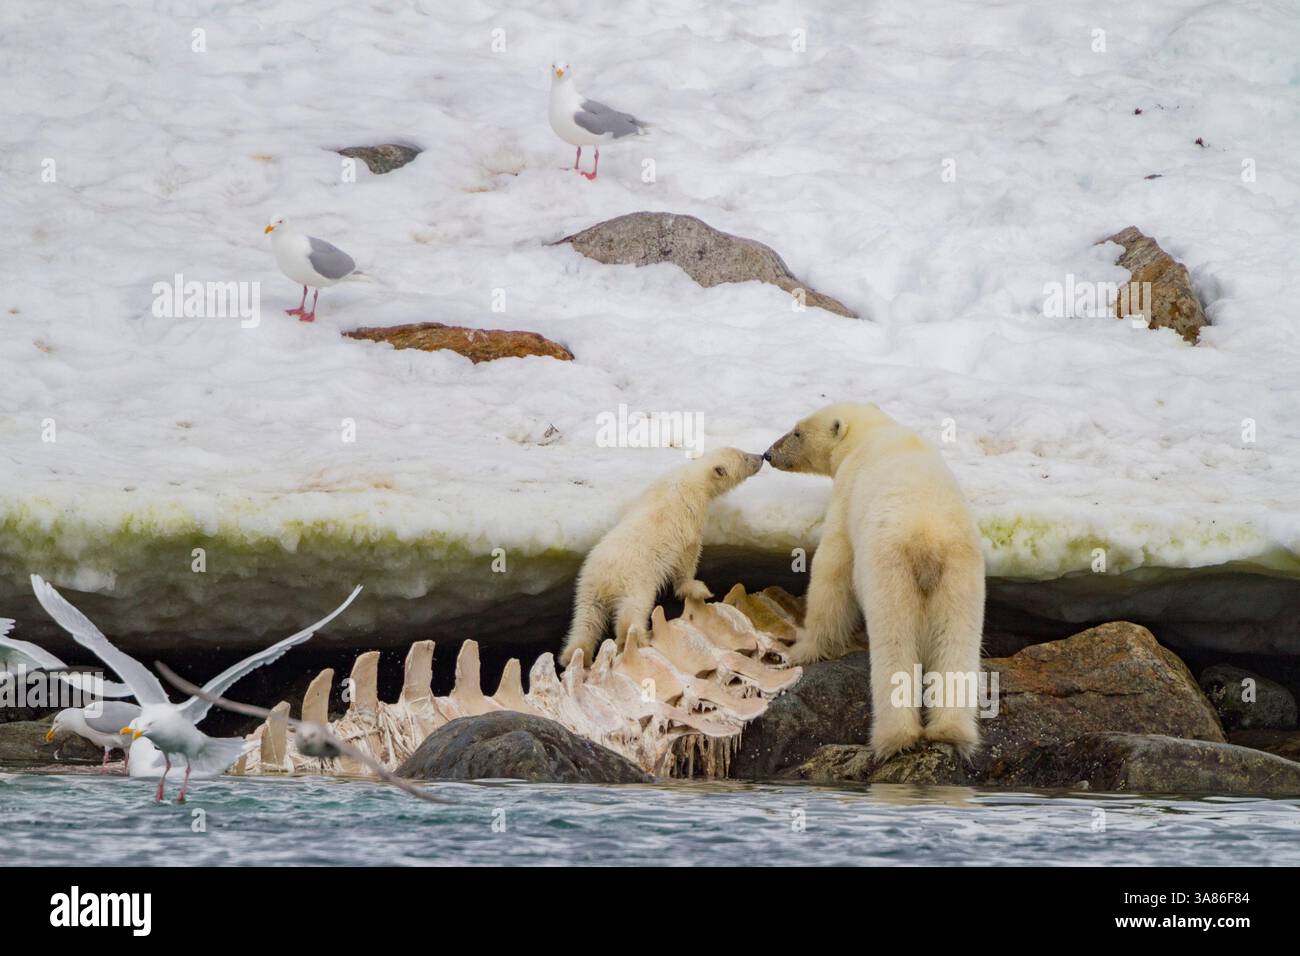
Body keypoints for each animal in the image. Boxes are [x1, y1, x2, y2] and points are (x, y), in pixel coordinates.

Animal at [559, 447, 764, 667]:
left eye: (744, 452)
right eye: (745, 458)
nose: (761, 457)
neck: (691, 478)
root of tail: (606, 581)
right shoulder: (691, 516)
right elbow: (689, 553)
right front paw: (696, 588)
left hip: (587, 585)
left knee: (586, 620)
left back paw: (574, 654)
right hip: (635, 581)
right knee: (632, 610)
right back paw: (637, 639)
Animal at [764, 402, 985, 760]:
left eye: (797, 432)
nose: (768, 453)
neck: (872, 432)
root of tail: (927, 544)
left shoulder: (846, 494)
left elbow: (832, 568)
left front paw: (801, 648)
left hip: (890, 572)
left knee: (893, 645)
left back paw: (893, 738)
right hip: (961, 577)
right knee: (956, 644)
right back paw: (951, 732)